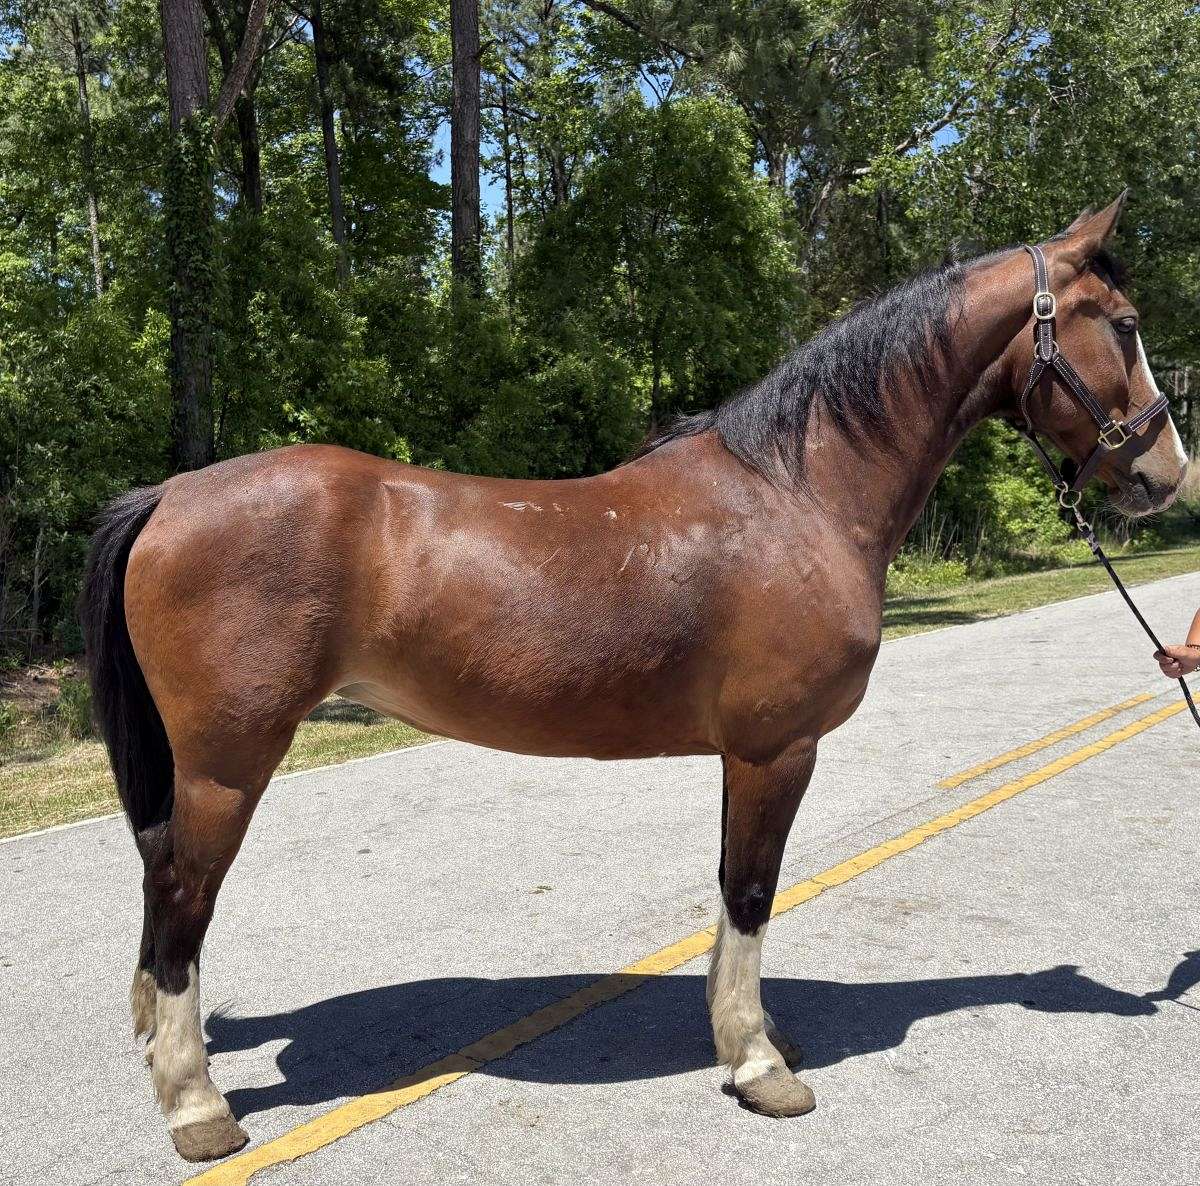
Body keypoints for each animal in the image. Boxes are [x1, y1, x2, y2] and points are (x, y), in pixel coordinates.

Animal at [79, 193, 1188, 1162]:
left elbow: (734, 887)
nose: (1168, 473)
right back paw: (198, 1107)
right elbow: (751, 890)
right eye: (1125, 325)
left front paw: (751, 1036)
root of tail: (170, 493)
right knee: (181, 897)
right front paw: (759, 1065)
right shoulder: (777, 748)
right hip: (228, 763)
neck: (799, 494)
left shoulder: (750, 754)